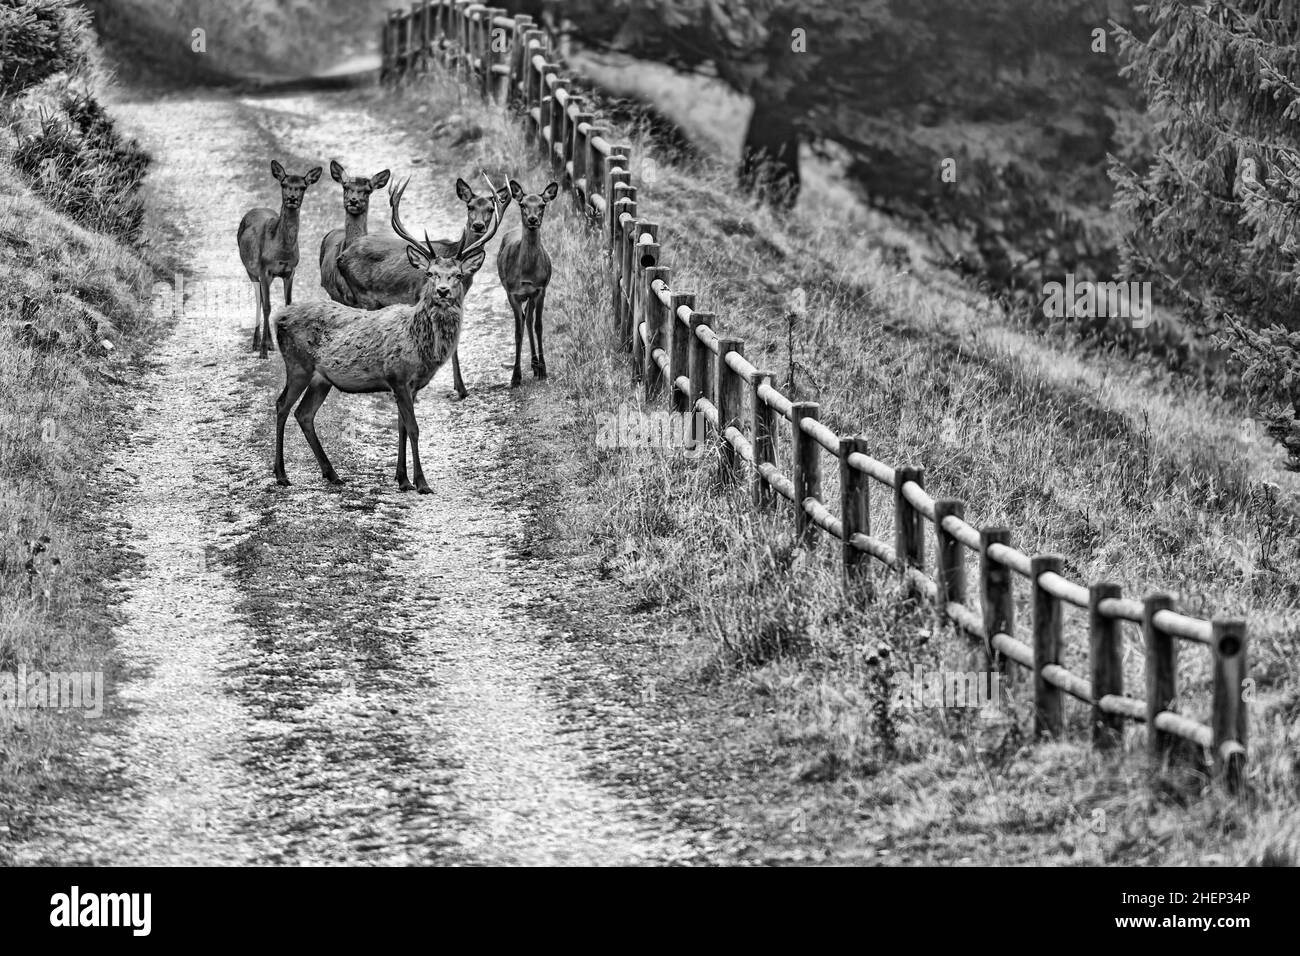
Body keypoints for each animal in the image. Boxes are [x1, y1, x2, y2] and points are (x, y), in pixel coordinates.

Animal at [237, 160, 322, 359]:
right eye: (284, 184)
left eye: (303, 186)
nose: (292, 198)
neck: (282, 251)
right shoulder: (263, 269)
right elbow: (267, 306)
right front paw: (262, 352)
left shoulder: (291, 271)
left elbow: (287, 304)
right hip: (250, 270)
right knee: (260, 302)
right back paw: (257, 343)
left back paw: (270, 343)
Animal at [334, 176, 510, 399]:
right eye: (470, 206)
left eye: (490, 208)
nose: (478, 225)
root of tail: (341, 257)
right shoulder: (419, 296)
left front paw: (461, 388)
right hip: (364, 294)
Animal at [496, 180, 559, 386]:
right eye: (522, 204)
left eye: (543, 204)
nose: (532, 219)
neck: (527, 274)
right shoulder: (512, 293)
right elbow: (517, 332)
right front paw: (515, 377)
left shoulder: (541, 289)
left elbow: (539, 326)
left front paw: (544, 370)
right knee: (525, 320)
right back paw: (532, 365)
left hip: (532, 295)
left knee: (530, 321)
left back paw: (536, 365)